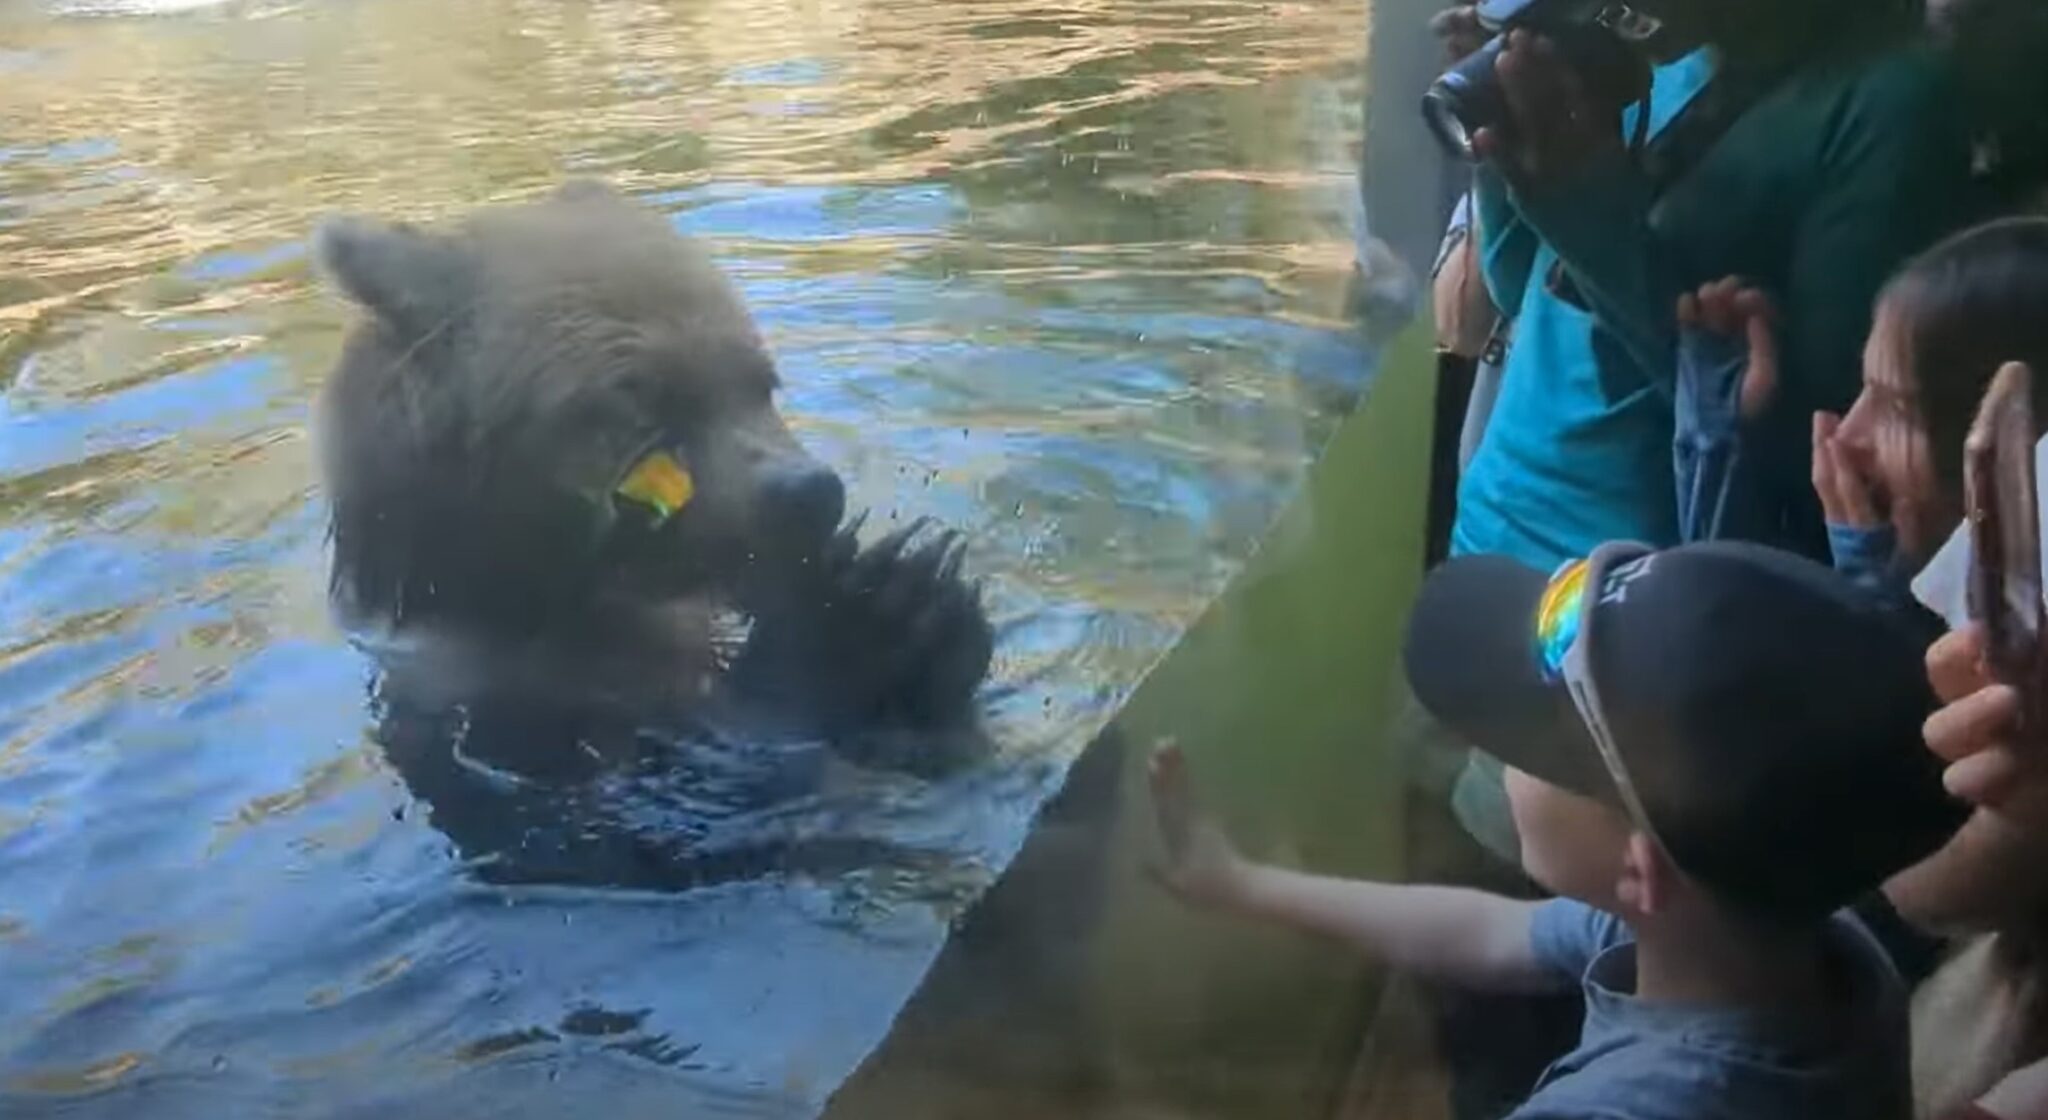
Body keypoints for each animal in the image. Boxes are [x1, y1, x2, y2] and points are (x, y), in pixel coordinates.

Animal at [313, 182, 994, 889]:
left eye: (760, 380)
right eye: (641, 401)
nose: (809, 492)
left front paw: (927, 607)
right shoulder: (497, 700)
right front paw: (878, 609)